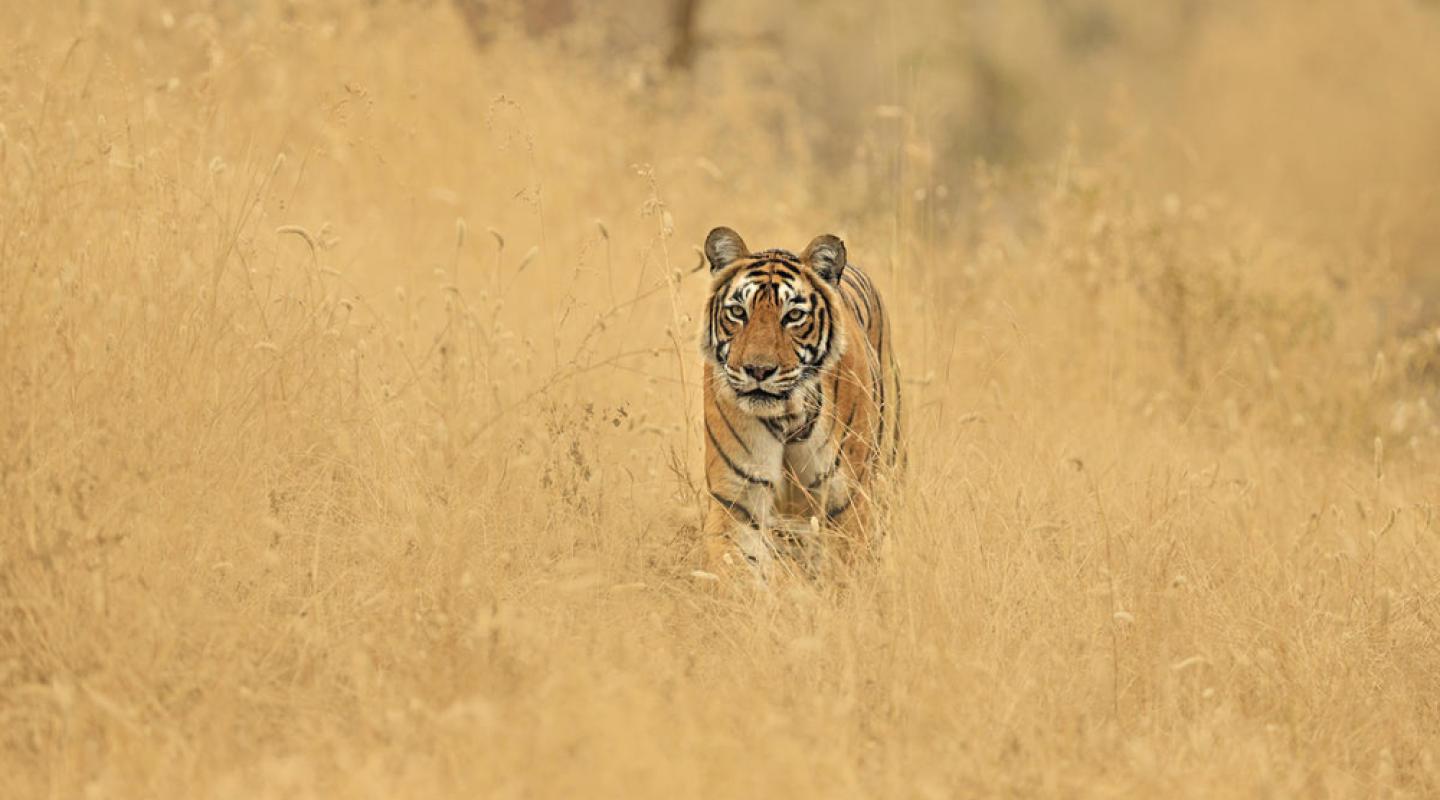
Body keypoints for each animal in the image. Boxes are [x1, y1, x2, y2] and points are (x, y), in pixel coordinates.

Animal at [699, 226, 901, 581]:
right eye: (738, 312)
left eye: (793, 316)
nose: (758, 370)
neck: (787, 420)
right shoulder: (737, 501)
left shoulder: (847, 503)